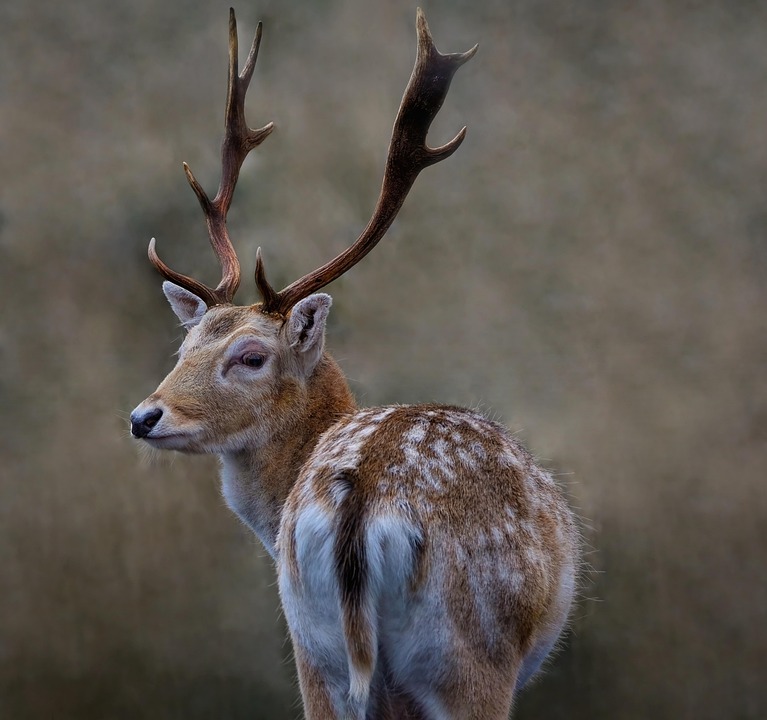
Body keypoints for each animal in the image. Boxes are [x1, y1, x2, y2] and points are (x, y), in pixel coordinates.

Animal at [130, 8, 579, 719]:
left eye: (250, 356)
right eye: (184, 347)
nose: (143, 416)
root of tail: (362, 506)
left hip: (313, 644)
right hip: (468, 655)